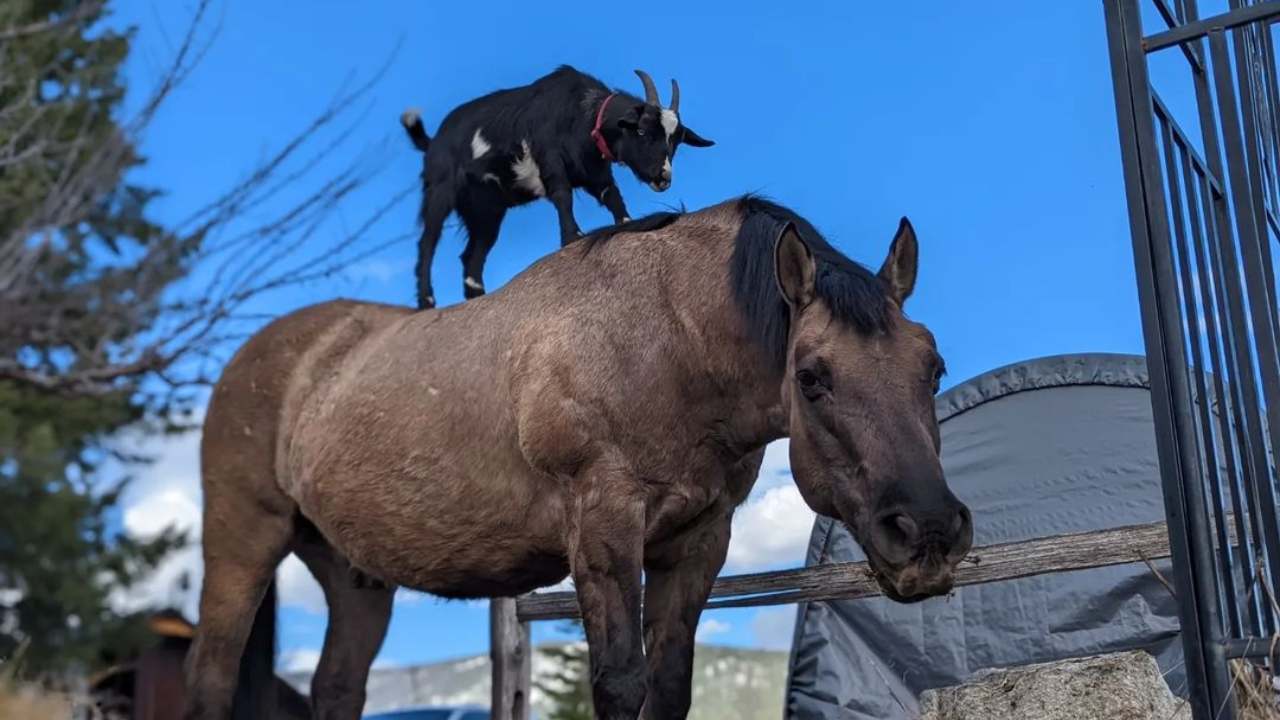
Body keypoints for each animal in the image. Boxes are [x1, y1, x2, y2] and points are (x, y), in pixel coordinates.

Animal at [182, 195, 973, 720]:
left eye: (932, 367)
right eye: (811, 377)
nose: (929, 531)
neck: (667, 341)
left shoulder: (697, 542)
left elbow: (670, 687)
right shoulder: (603, 527)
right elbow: (620, 683)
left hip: (355, 577)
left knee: (339, 687)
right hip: (243, 544)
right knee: (211, 675)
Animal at [400, 65, 714, 309]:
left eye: (675, 141)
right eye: (640, 130)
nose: (663, 178)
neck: (583, 114)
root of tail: (433, 141)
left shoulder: (594, 171)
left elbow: (613, 197)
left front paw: (626, 224)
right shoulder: (550, 159)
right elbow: (563, 196)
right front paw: (572, 238)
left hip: (486, 209)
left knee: (472, 257)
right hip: (440, 190)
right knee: (427, 243)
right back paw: (427, 301)